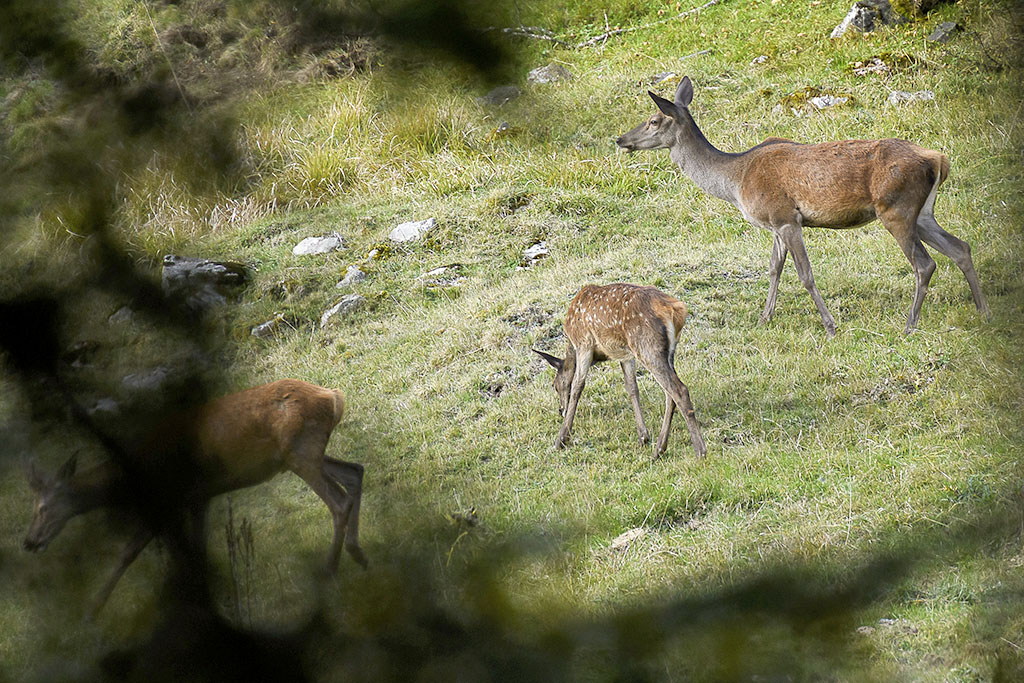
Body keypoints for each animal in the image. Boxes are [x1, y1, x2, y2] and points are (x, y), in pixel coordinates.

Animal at [23, 379, 367, 616]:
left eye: (43, 507)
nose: (29, 541)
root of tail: (333, 396)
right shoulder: (199, 497)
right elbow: (197, 549)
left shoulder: (170, 500)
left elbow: (130, 552)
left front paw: (92, 612)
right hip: (304, 454)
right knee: (355, 472)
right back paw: (358, 554)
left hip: (300, 452)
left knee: (339, 502)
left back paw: (330, 571)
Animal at [534, 283, 707, 459]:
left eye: (555, 385)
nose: (561, 410)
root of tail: (676, 309)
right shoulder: (625, 355)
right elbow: (632, 388)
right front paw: (643, 436)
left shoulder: (584, 344)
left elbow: (577, 386)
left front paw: (561, 439)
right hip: (667, 351)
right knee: (669, 394)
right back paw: (659, 449)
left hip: (647, 346)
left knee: (679, 390)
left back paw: (700, 451)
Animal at [616, 76, 990, 336]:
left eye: (653, 120)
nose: (621, 139)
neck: (735, 180)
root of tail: (938, 159)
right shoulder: (774, 224)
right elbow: (773, 268)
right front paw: (764, 317)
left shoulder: (786, 218)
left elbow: (805, 274)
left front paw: (830, 325)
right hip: (922, 213)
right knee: (960, 247)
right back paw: (983, 309)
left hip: (895, 208)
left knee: (925, 264)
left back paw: (910, 324)